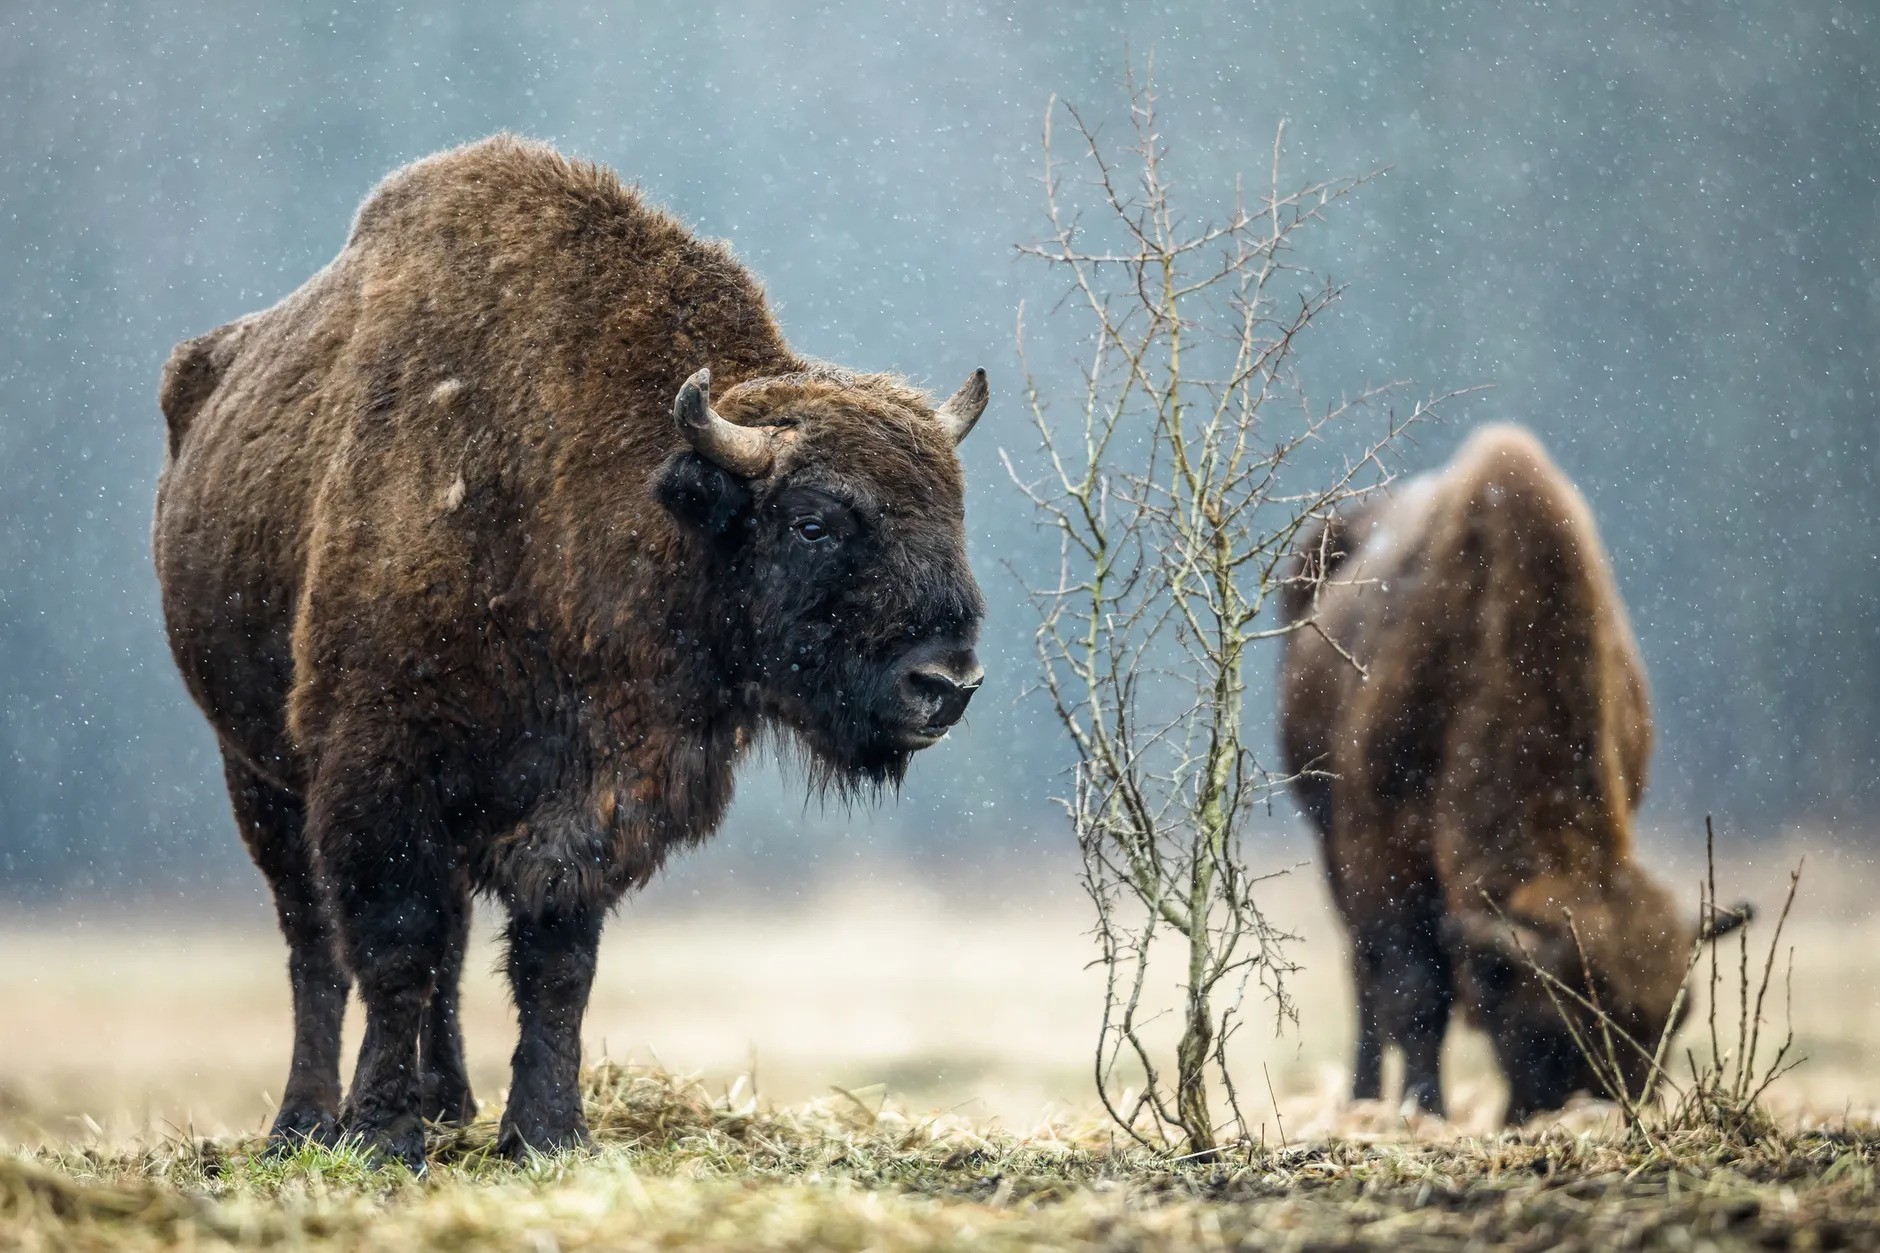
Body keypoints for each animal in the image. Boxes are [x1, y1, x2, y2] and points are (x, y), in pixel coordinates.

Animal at [154, 136, 990, 1166]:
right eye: (813, 521)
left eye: (953, 513)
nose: (944, 682)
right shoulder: (377, 770)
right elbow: (391, 945)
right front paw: (382, 1131)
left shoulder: (595, 796)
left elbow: (552, 960)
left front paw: (543, 1132)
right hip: (257, 771)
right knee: (314, 942)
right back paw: (307, 1119)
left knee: (442, 944)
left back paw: (449, 1103)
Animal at [1279, 425, 1749, 1124]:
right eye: (1556, 1020)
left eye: (1678, 1012)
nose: (1613, 1111)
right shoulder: (1379, 854)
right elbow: (1415, 993)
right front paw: (1428, 1110)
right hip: (1326, 840)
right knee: (1365, 975)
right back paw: (1365, 1097)